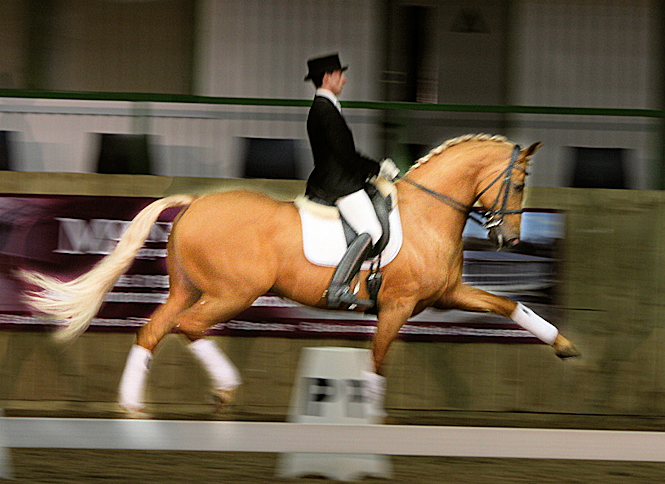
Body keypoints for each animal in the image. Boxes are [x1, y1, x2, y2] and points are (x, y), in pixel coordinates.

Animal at [19, 133, 580, 417]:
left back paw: (133, 407)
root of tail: (196, 202)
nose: (510, 240)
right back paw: (222, 391)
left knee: (154, 330)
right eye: (520, 183)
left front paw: (563, 345)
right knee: (188, 328)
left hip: (188, 288)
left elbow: (509, 305)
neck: (427, 214)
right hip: (232, 292)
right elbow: (377, 363)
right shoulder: (398, 306)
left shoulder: (447, 293)